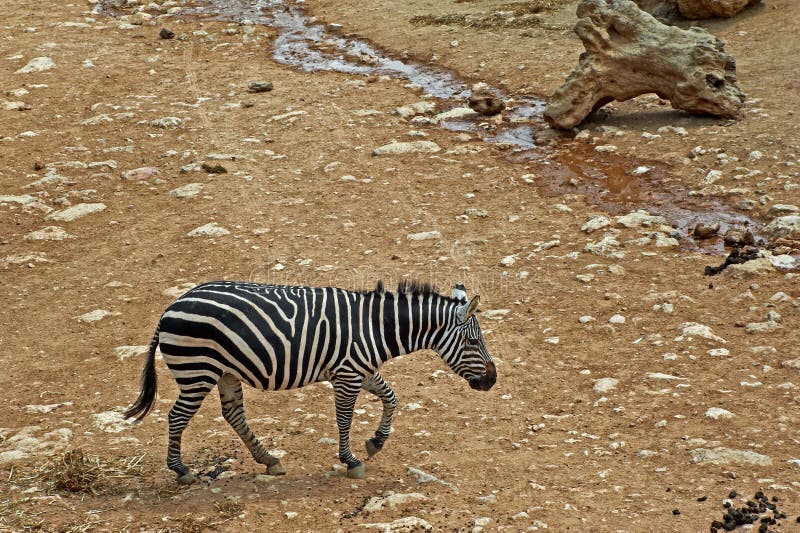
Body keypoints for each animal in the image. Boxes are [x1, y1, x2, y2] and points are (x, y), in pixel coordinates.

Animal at [124, 280, 496, 482]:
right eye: (473, 342)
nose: (492, 380)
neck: (377, 327)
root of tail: (171, 307)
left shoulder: (360, 369)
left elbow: (391, 397)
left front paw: (376, 442)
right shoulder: (347, 375)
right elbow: (344, 419)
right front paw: (351, 461)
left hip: (224, 372)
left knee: (233, 414)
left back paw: (269, 459)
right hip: (197, 371)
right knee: (177, 416)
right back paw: (181, 470)